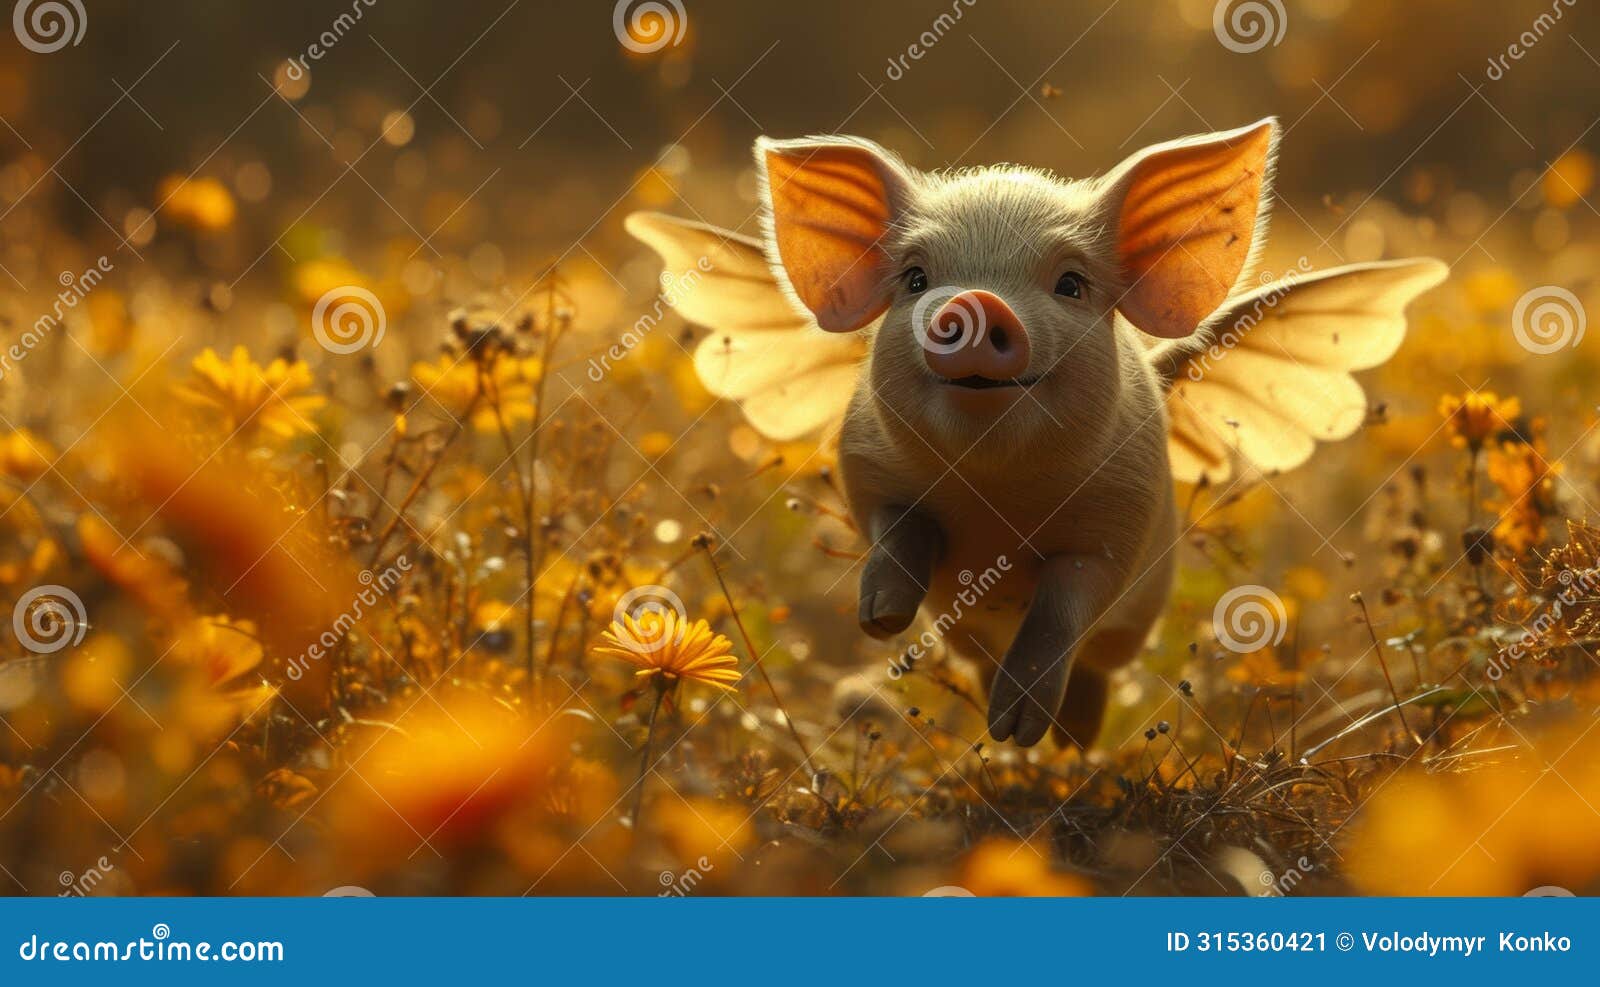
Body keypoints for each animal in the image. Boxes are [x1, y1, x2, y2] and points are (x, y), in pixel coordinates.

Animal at [627, 118, 1446, 747]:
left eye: (1071, 285)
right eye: (916, 279)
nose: (976, 302)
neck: (998, 493)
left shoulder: (1115, 528)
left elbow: (1063, 607)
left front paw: (1017, 730)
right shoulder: (872, 476)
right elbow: (900, 532)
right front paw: (881, 619)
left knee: (1099, 663)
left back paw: (1072, 739)